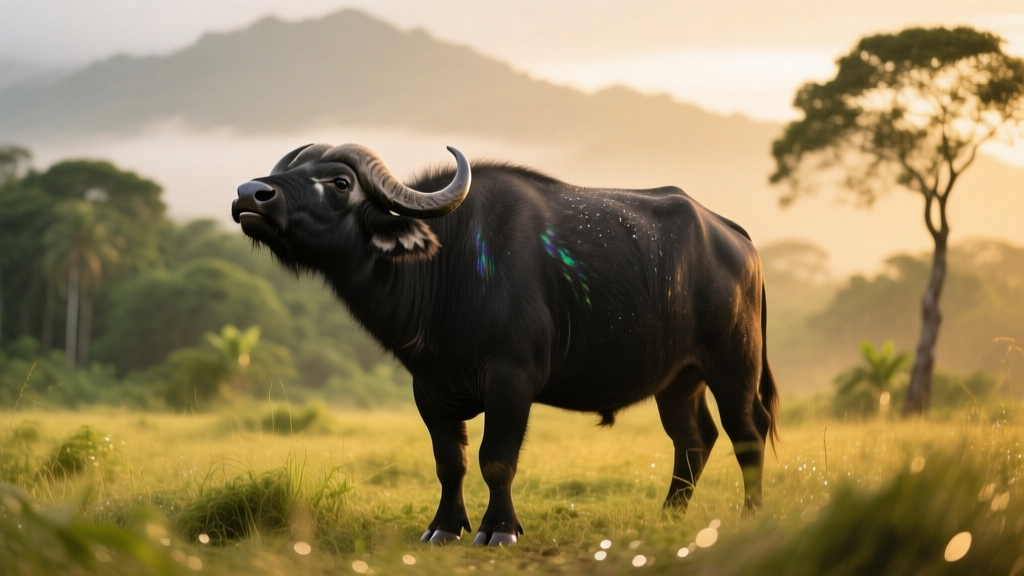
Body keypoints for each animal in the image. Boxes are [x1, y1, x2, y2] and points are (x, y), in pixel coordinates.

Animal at [232, 144, 779, 546]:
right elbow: (448, 462)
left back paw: (752, 513)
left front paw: (499, 529)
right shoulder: (428, 388)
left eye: (340, 183)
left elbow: (497, 459)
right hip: (677, 379)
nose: (249, 194)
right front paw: (444, 527)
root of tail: (736, 238)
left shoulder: (511, 380)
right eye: (293, 170)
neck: (447, 265)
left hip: (734, 365)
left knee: (746, 432)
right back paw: (668, 515)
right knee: (693, 439)